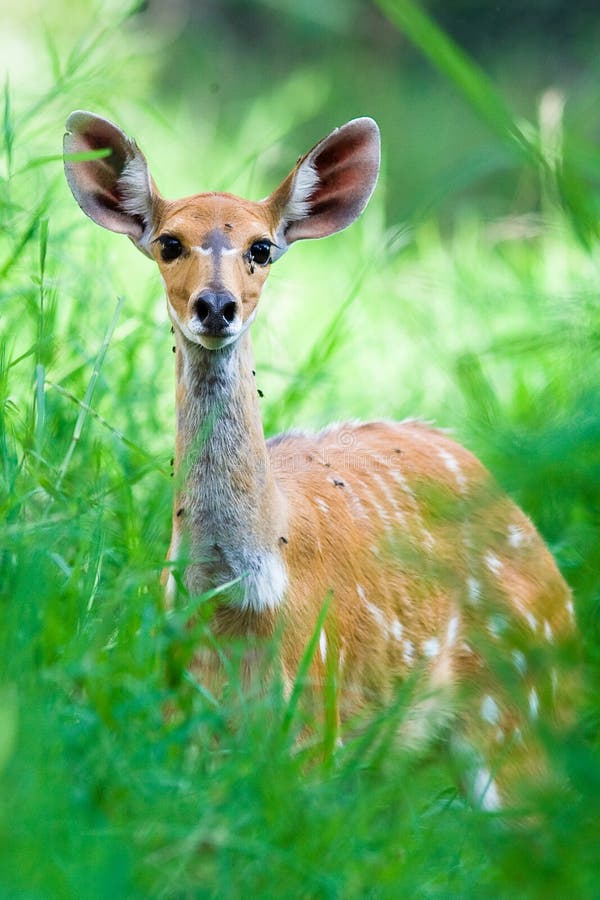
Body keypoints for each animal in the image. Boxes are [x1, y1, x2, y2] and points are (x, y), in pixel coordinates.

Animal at [63, 111, 576, 809]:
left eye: (260, 248)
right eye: (169, 243)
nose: (216, 306)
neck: (238, 601)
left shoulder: (312, 721)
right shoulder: (180, 716)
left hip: (525, 701)